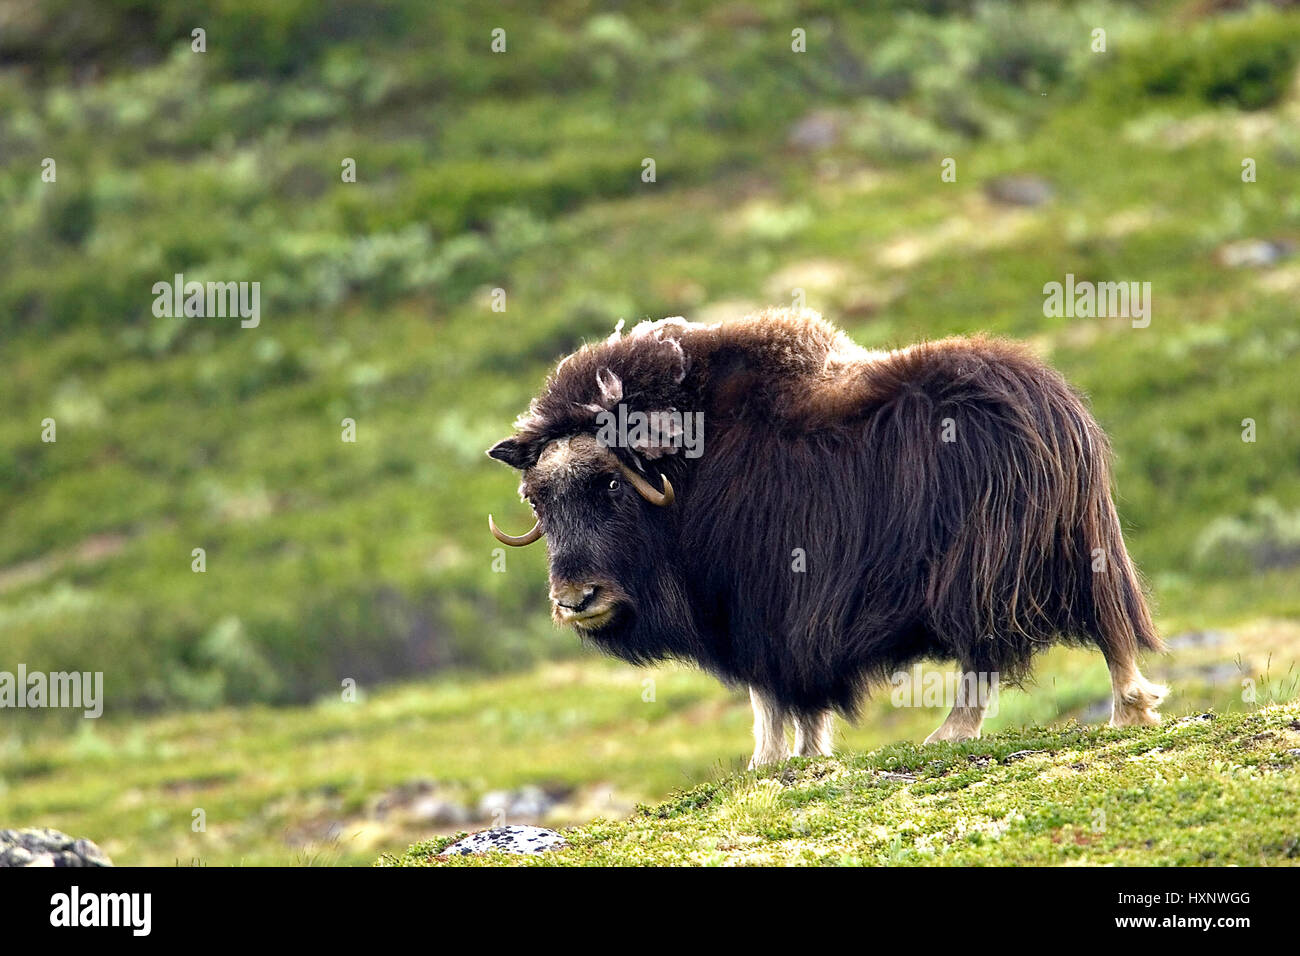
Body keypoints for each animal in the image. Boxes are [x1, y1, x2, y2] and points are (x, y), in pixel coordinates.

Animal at [486, 309, 1167, 767]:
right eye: (539, 499)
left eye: (610, 485)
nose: (575, 600)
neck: (688, 463)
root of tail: (1056, 405)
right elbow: (792, 697)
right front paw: (804, 757)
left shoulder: (757, 605)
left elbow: (768, 691)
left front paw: (765, 765)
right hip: (1081, 546)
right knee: (1105, 625)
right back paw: (1132, 710)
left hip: (983, 570)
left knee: (990, 651)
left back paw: (960, 733)